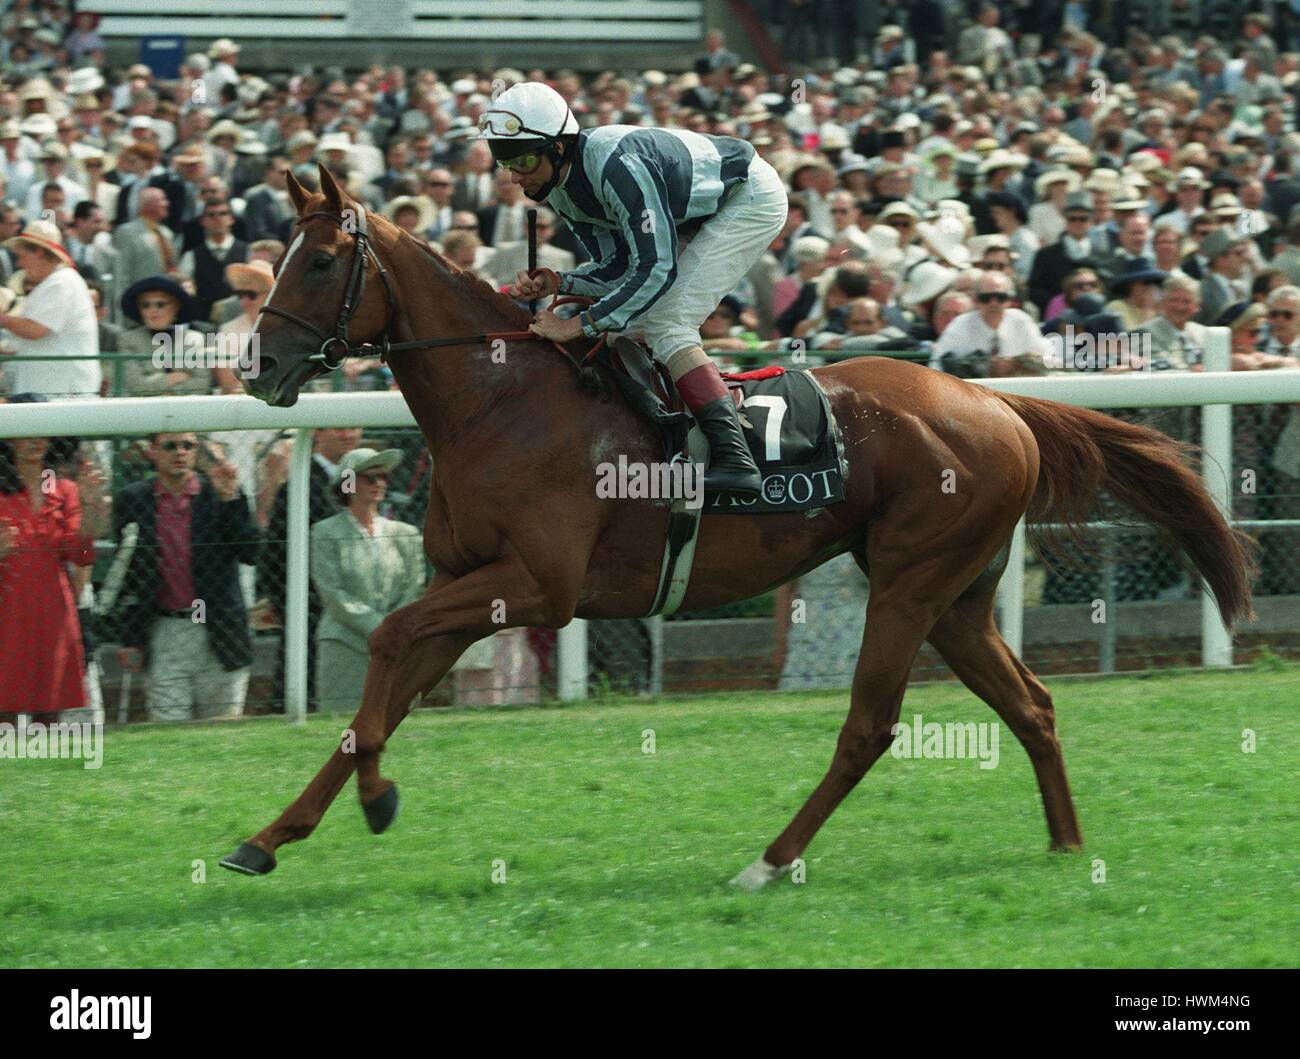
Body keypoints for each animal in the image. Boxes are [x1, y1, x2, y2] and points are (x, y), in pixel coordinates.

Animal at [221, 165, 1254, 888]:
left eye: (320, 261)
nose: (258, 366)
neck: (499, 397)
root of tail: (996, 400)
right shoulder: (467, 584)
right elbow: (383, 689)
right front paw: (269, 838)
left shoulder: (537, 587)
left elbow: (387, 641)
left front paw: (375, 799)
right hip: (959, 599)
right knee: (1032, 704)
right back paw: (1066, 842)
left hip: (911, 581)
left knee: (870, 726)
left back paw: (768, 859)